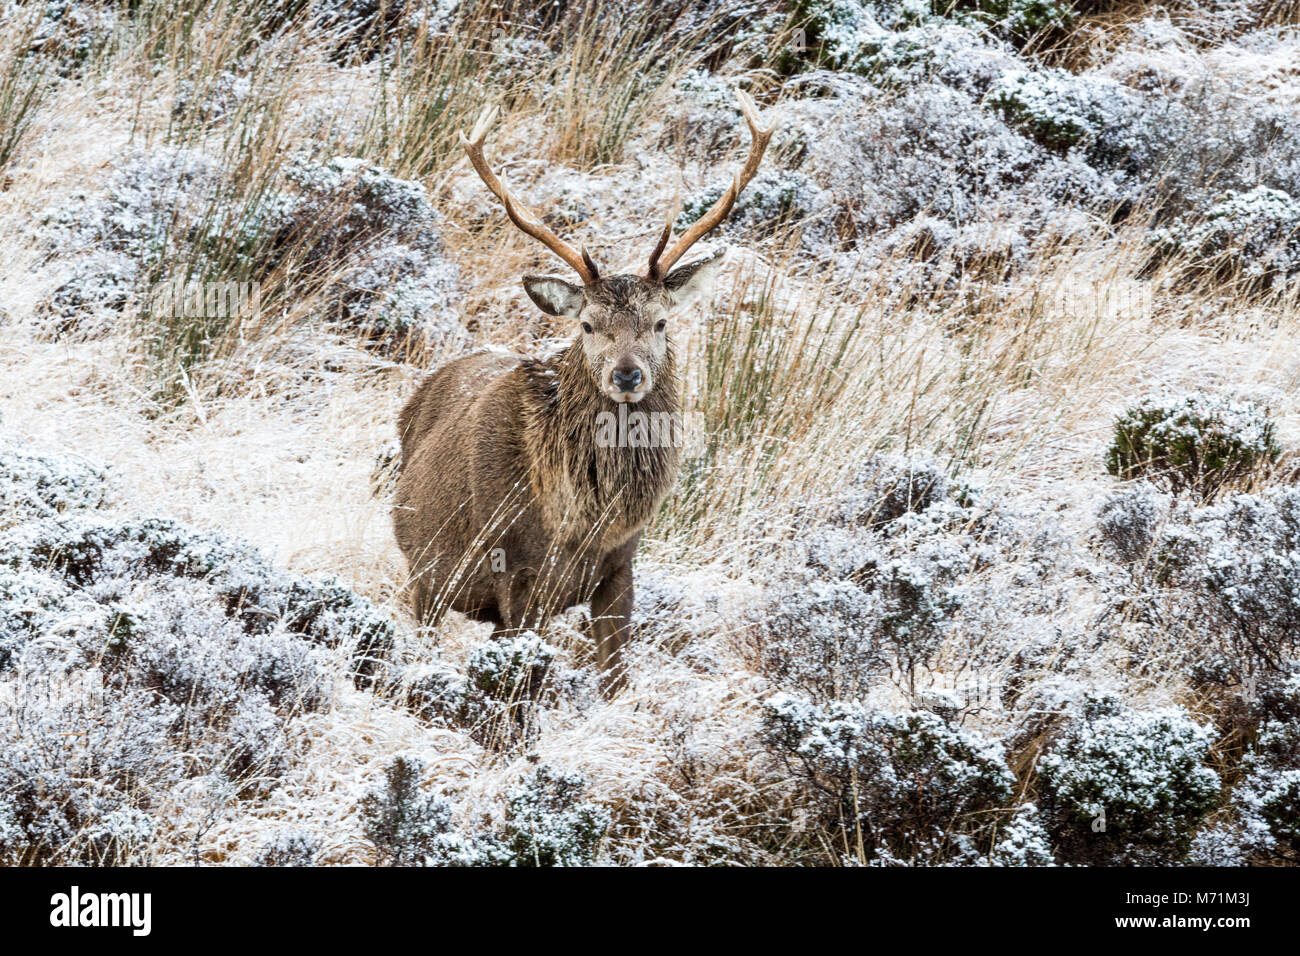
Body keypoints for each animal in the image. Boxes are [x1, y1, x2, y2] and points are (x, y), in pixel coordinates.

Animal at [392, 90, 774, 693]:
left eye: (661, 322)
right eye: (589, 325)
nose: (627, 375)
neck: (578, 523)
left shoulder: (620, 567)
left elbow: (616, 678)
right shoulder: (515, 576)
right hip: (424, 574)